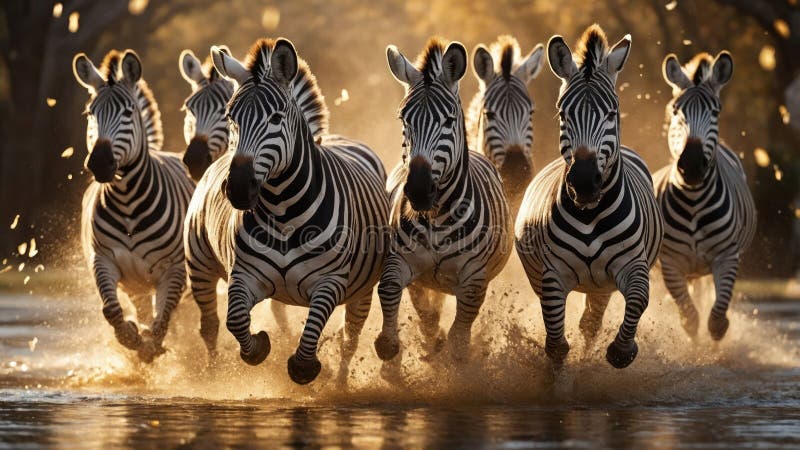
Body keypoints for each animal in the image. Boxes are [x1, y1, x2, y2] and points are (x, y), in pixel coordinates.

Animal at [72, 49, 195, 362]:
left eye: (128, 112)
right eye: (90, 114)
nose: (99, 163)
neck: (128, 201)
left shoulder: (174, 268)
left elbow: (163, 318)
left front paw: (151, 344)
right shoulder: (102, 259)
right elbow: (111, 309)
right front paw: (130, 336)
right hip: (137, 285)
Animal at [185, 38, 389, 384]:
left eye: (277, 119)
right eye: (231, 118)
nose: (238, 188)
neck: (283, 211)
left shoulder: (330, 282)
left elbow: (312, 332)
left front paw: (306, 367)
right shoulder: (244, 275)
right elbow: (236, 319)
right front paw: (258, 347)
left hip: (362, 289)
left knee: (350, 338)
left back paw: (340, 382)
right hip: (199, 265)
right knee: (210, 326)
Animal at [373, 38, 513, 363]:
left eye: (448, 121)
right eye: (403, 119)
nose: (418, 190)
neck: (437, 218)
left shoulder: (474, 281)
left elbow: (459, 337)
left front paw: (454, 361)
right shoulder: (399, 260)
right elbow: (391, 291)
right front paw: (390, 343)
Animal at [514, 25, 664, 369]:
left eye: (611, 113)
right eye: (562, 113)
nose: (583, 182)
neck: (590, 215)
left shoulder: (634, 265)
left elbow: (639, 299)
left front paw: (621, 350)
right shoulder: (552, 276)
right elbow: (556, 343)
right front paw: (556, 375)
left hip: (601, 286)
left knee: (591, 323)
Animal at [654, 51, 756, 340]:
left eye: (715, 112)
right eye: (676, 111)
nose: (691, 165)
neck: (694, 202)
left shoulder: (727, 257)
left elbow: (717, 319)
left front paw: (712, 344)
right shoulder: (671, 264)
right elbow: (690, 318)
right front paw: (695, 347)